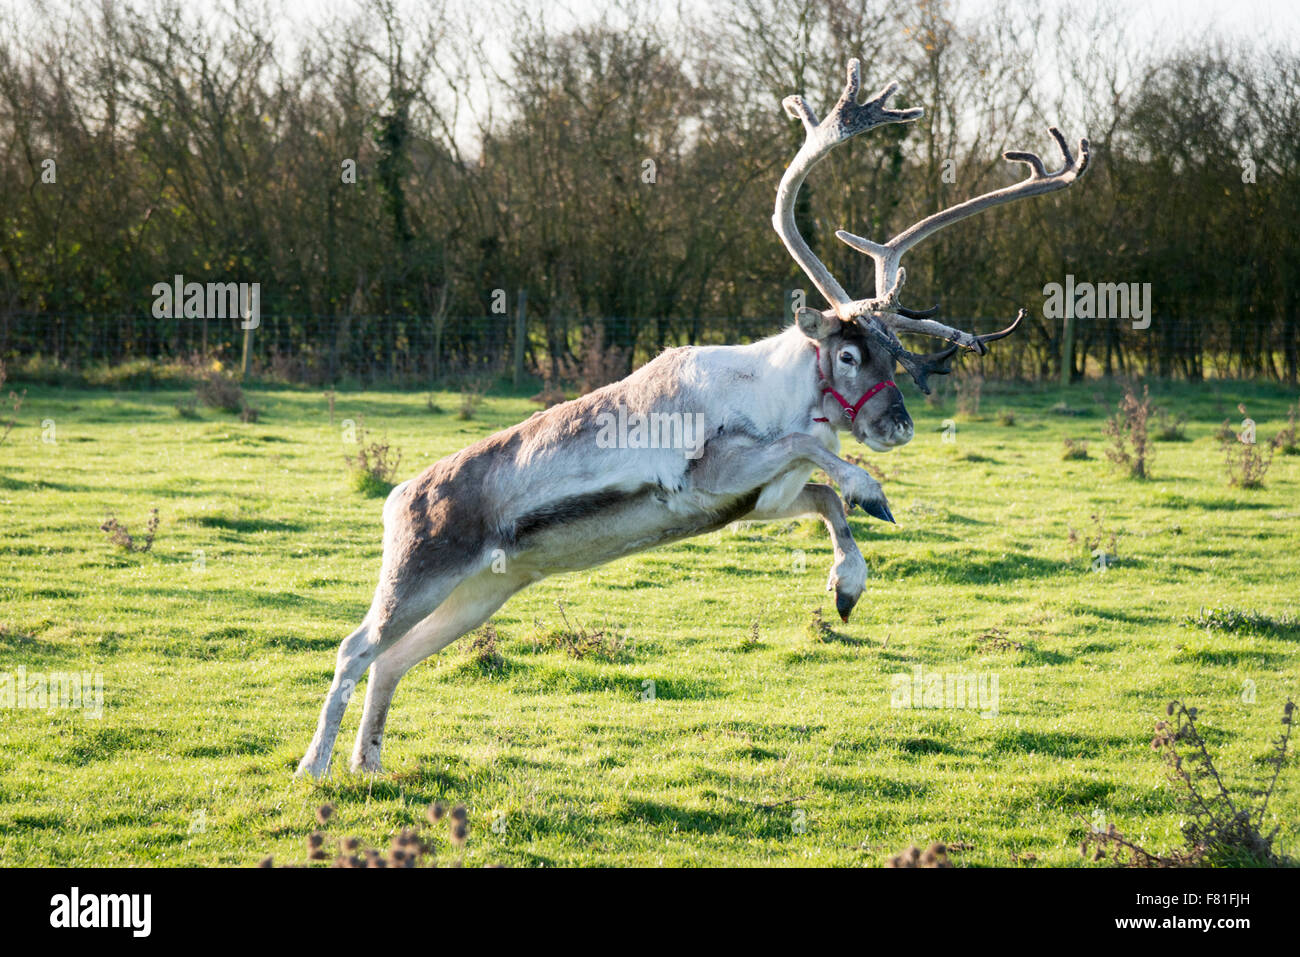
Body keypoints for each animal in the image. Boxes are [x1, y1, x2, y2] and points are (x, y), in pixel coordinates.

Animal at [296, 60, 1088, 779]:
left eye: (895, 352)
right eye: (850, 352)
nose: (899, 427)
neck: (773, 389)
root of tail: (398, 497)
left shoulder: (757, 500)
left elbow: (822, 495)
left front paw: (847, 586)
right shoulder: (712, 471)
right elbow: (815, 456)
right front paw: (872, 491)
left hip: (482, 592)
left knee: (393, 659)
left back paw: (367, 763)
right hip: (419, 572)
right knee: (354, 646)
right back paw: (313, 767)